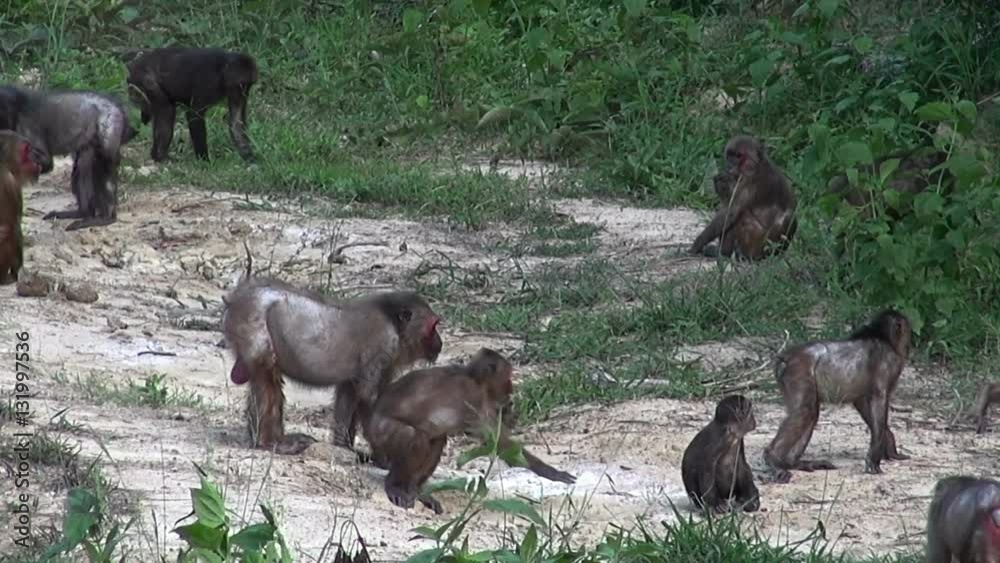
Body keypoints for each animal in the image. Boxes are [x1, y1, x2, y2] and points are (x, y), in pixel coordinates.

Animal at [2, 86, 133, 231]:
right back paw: (81, 214)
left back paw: (105, 218)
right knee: (81, 169)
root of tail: (119, 108)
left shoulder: (26, 129)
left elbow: (46, 162)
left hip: (110, 125)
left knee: (104, 165)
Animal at [125, 47, 257, 162]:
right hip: (143, 78)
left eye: (248, 85)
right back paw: (160, 156)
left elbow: (237, 121)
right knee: (166, 110)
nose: (244, 93)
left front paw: (250, 158)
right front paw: (204, 160)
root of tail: (133, 64)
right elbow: (194, 114)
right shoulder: (209, 82)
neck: (223, 72)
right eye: (240, 85)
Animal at [222, 278, 442, 456]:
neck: (395, 325)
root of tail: (237, 297)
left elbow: (349, 395)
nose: (440, 342)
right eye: (434, 327)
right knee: (266, 369)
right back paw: (268, 443)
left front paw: (344, 446)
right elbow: (368, 397)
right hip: (251, 317)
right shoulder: (384, 345)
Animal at [364, 348, 576, 514]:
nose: (511, 387)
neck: (474, 379)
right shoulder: (475, 399)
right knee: (412, 437)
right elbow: (498, 443)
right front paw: (551, 472)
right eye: (507, 377)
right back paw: (395, 485)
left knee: (436, 439)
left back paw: (416, 490)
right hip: (379, 432)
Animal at [763, 309, 912, 483]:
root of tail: (785, 358)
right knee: (804, 412)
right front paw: (875, 457)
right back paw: (774, 460)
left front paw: (888, 446)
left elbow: (863, 405)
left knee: (811, 414)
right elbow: (878, 403)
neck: (881, 336)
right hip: (799, 371)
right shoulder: (888, 364)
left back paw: (793, 463)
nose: (909, 344)